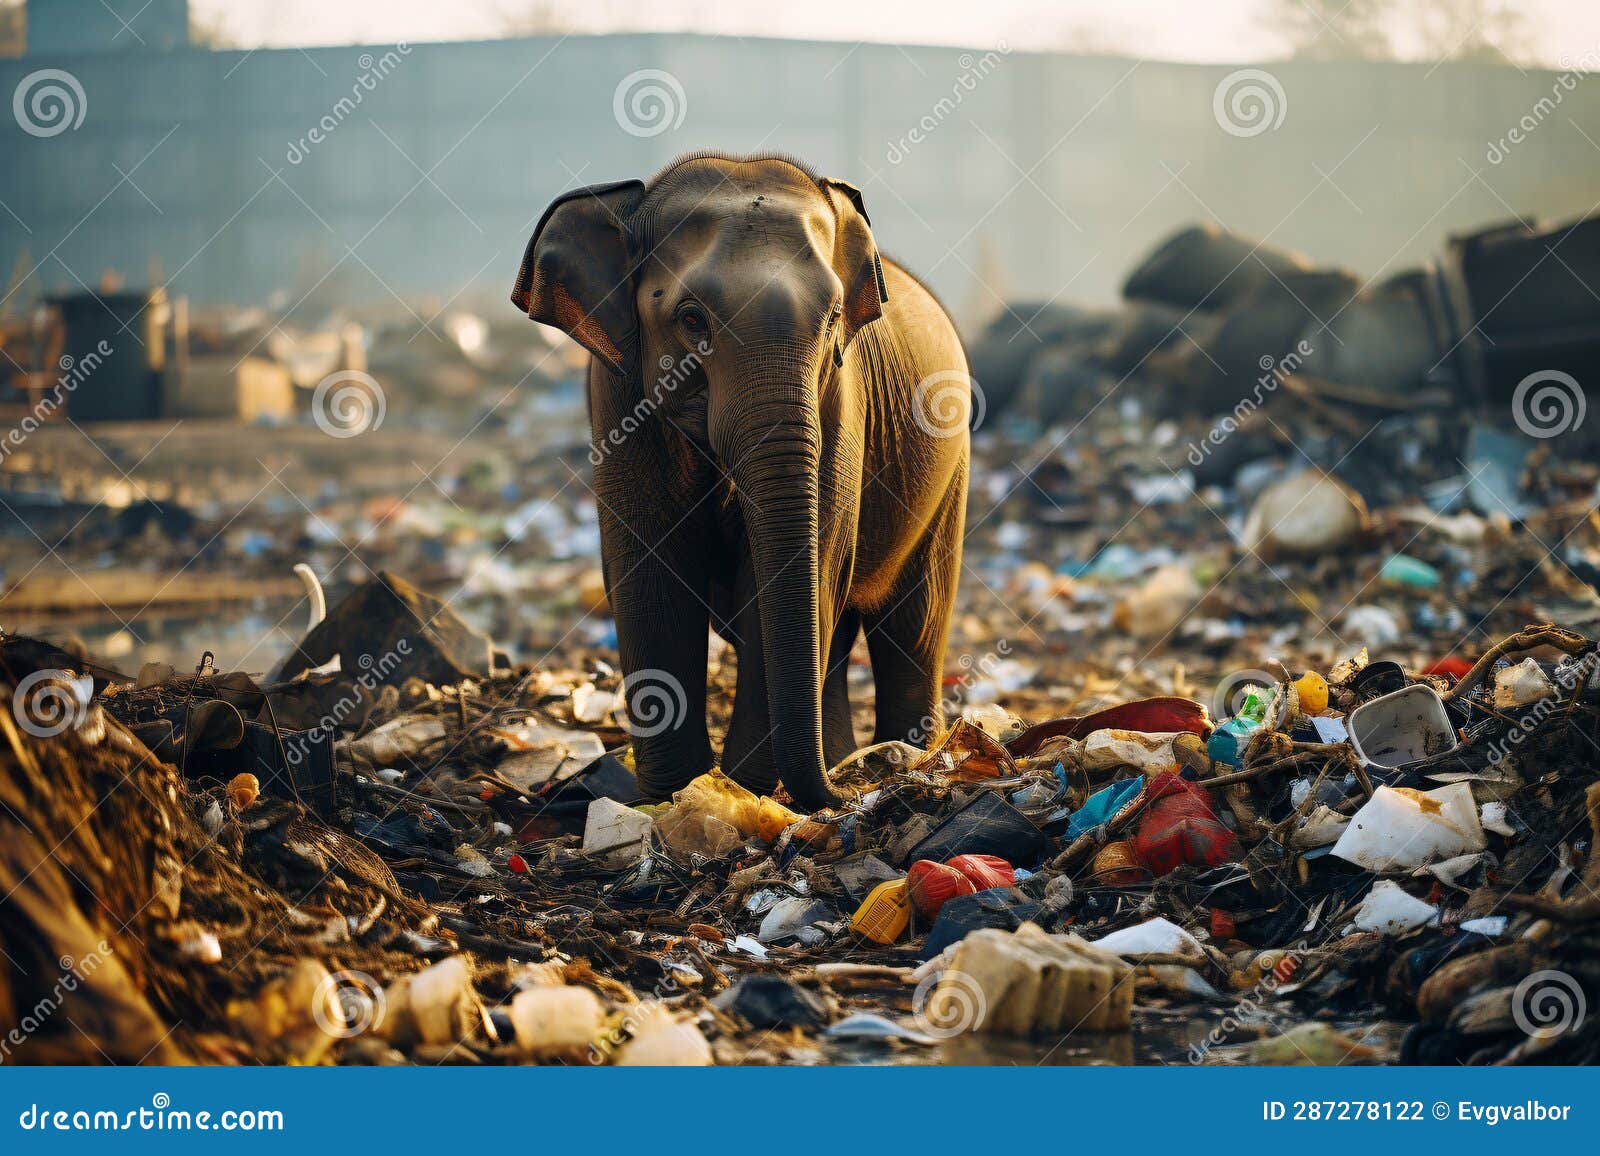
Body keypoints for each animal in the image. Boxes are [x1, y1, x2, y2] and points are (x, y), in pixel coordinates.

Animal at [511, 153, 970, 811]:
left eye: (833, 319)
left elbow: (792, 577)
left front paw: (739, 791)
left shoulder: (840, 401)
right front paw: (677, 797)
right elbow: (650, 577)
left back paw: (901, 755)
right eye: (691, 319)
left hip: (949, 475)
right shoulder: (616, 397)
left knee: (912, 620)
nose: (844, 792)